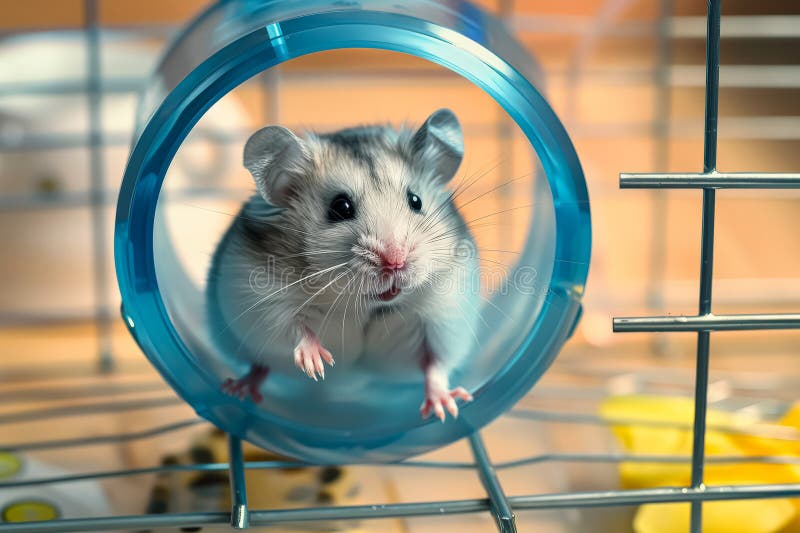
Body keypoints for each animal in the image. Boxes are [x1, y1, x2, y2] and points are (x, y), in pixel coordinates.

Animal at [206, 109, 480, 422]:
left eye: (416, 200)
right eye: (340, 207)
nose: (395, 261)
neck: (365, 303)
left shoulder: (444, 315)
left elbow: (435, 363)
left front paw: (446, 408)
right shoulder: (262, 299)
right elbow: (295, 326)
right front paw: (318, 365)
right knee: (260, 365)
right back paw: (237, 389)